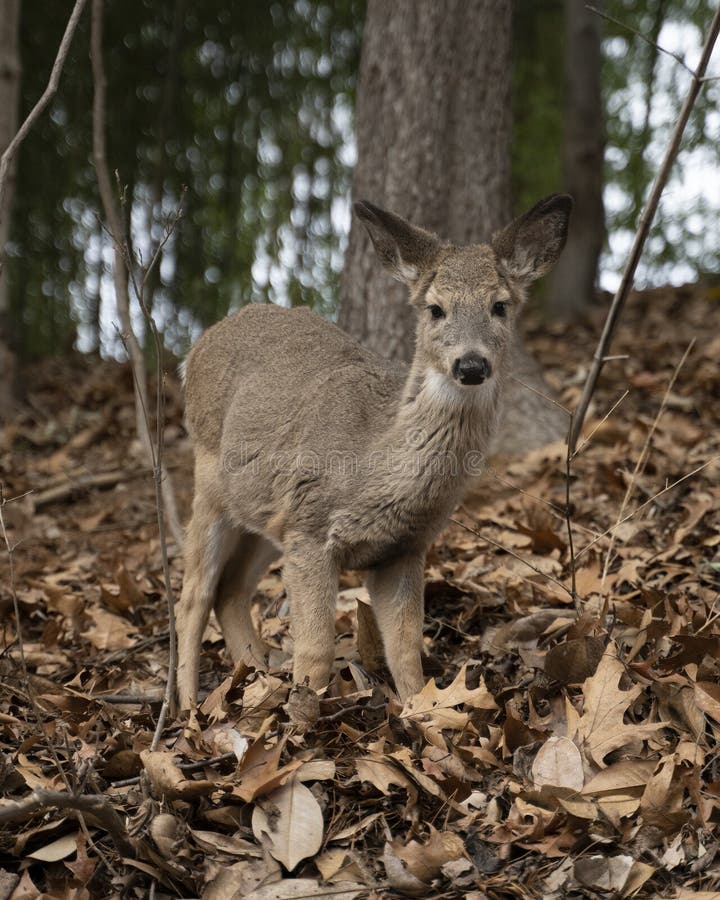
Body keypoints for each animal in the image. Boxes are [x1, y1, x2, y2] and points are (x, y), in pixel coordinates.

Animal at [176, 194, 572, 711]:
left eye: (500, 306)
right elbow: (316, 650)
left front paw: (420, 710)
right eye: (435, 309)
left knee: (230, 590)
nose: (470, 365)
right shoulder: (310, 528)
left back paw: (254, 674)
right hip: (210, 483)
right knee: (193, 597)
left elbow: (406, 650)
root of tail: (197, 346)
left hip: (264, 512)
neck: (373, 465)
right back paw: (187, 707)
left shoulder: (402, 549)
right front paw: (302, 715)